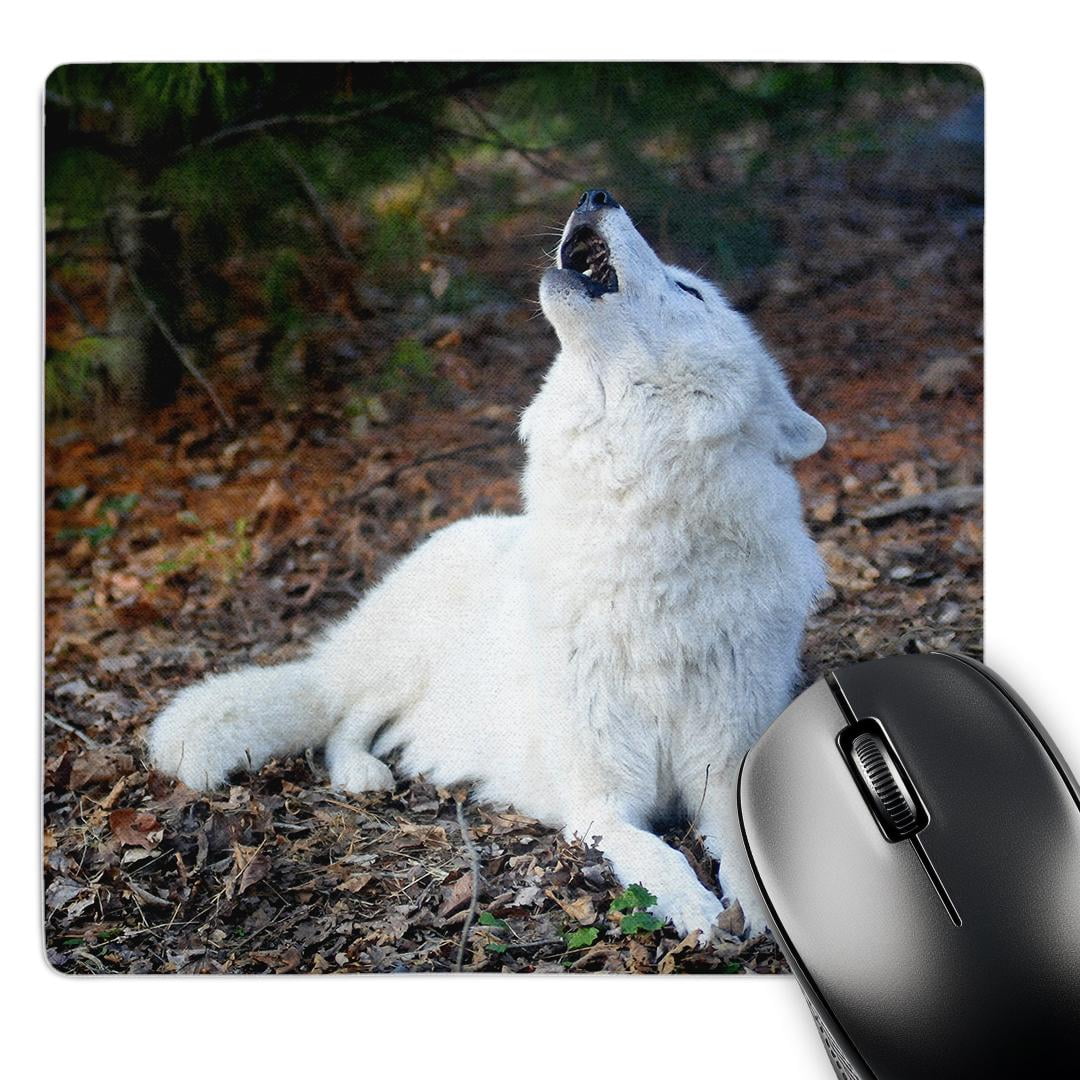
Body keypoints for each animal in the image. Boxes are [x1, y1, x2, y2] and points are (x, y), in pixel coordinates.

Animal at [148, 189, 826, 941]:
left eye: (689, 290)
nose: (597, 195)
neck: (641, 554)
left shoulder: (723, 772)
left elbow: (744, 852)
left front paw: (762, 911)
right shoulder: (602, 804)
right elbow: (660, 856)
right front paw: (697, 912)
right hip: (398, 666)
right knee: (340, 720)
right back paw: (362, 772)